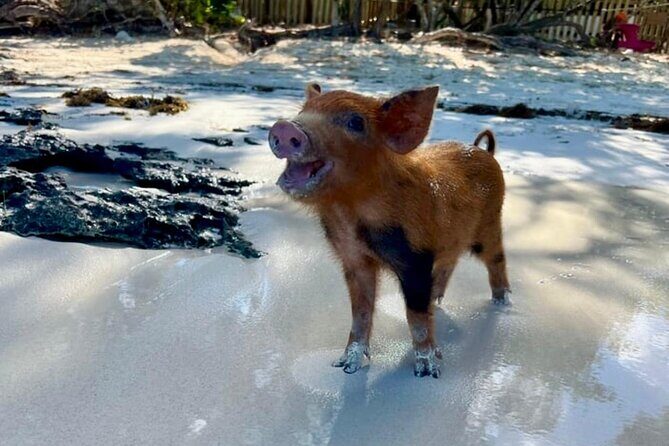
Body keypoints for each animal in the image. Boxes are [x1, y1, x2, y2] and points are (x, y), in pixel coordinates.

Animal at [268, 84, 509, 378]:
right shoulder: (354, 260)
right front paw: (345, 367)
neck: (349, 214)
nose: (285, 127)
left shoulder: (415, 260)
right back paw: (437, 300)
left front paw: (427, 372)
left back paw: (502, 304)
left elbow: (415, 315)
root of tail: (485, 151)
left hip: (491, 223)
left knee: (496, 260)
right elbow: (360, 312)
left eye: (355, 122)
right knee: (449, 263)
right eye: (303, 111)